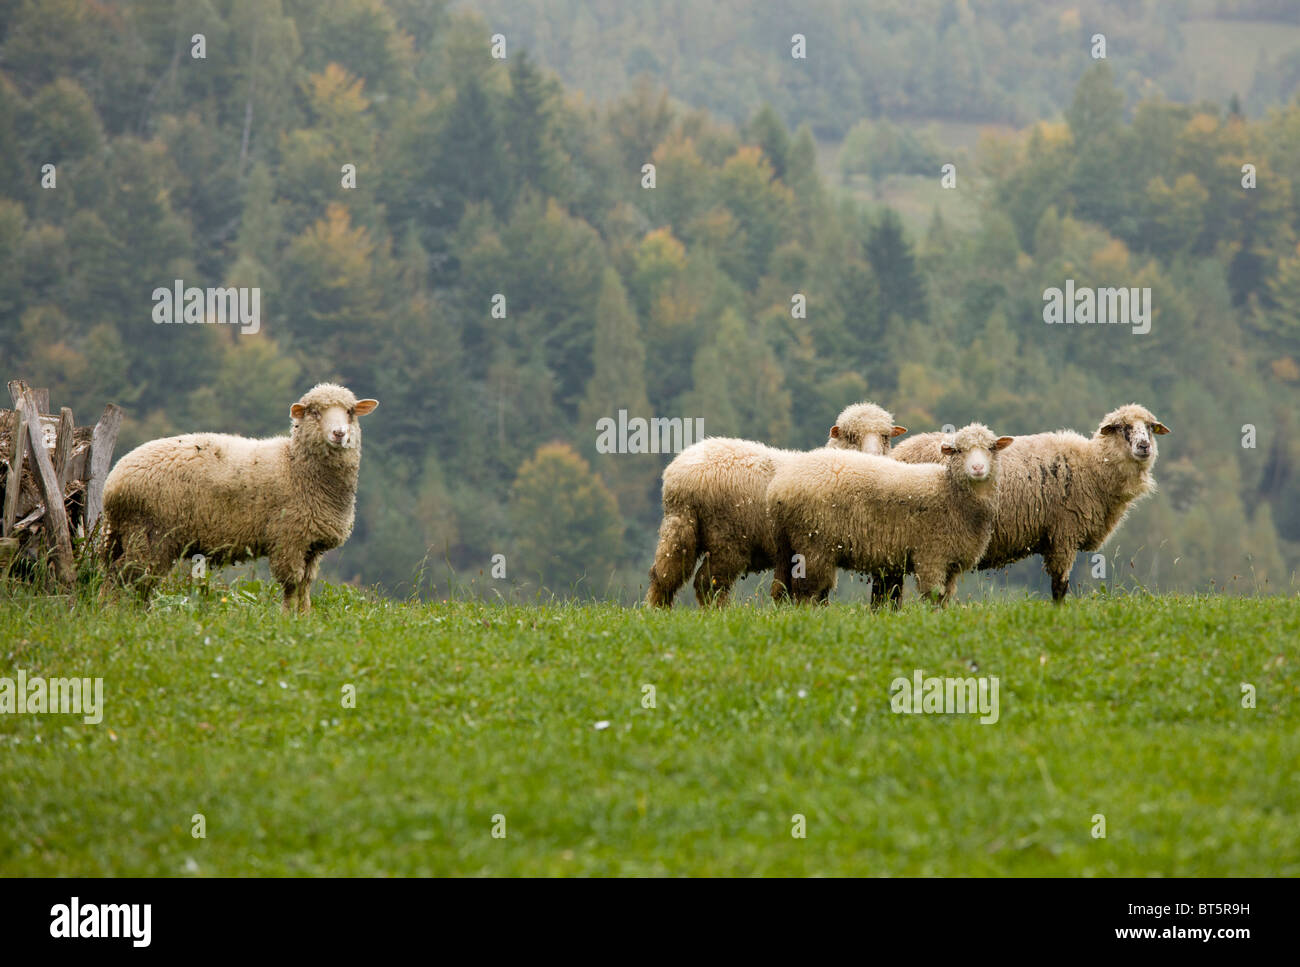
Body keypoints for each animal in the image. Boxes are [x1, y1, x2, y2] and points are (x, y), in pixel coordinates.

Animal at [102, 383, 379, 613]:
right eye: (314, 412)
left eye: (350, 412)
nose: (339, 433)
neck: (295, 465)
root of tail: (112, 480)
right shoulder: (288, 538)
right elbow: (291, 584)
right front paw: (287, 617)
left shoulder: (311, 544)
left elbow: (305, 585)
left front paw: (305, 615)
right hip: (149, 533)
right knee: (127, 573)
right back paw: (115, 611)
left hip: (129, 535)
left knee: (132, 576)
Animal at [645, 402, 906, 607]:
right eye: (851, 436)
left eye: (885, 437)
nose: (873, 458)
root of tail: (681, 476)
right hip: (727, 539)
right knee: (708, 583)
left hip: (680, 529)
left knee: (665, 574)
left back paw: (659, 610)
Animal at [767, 423, 1013, 606]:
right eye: (959, 450)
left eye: (991, 448)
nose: (978, 468)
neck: (949, 492)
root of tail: (779, 485)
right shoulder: (931, 555)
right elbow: (933, 596)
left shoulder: (951, 562)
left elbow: (945, 598)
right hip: (813, 544)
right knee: (807, 590)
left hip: (787, 543)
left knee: (782, 587)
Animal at [889, 403, 1169, 601]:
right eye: (1124, 427)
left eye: (1149, 427)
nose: (1144, 446)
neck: (1092, 466)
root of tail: (897, 452)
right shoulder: (1064, 533)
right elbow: (1059, 586)